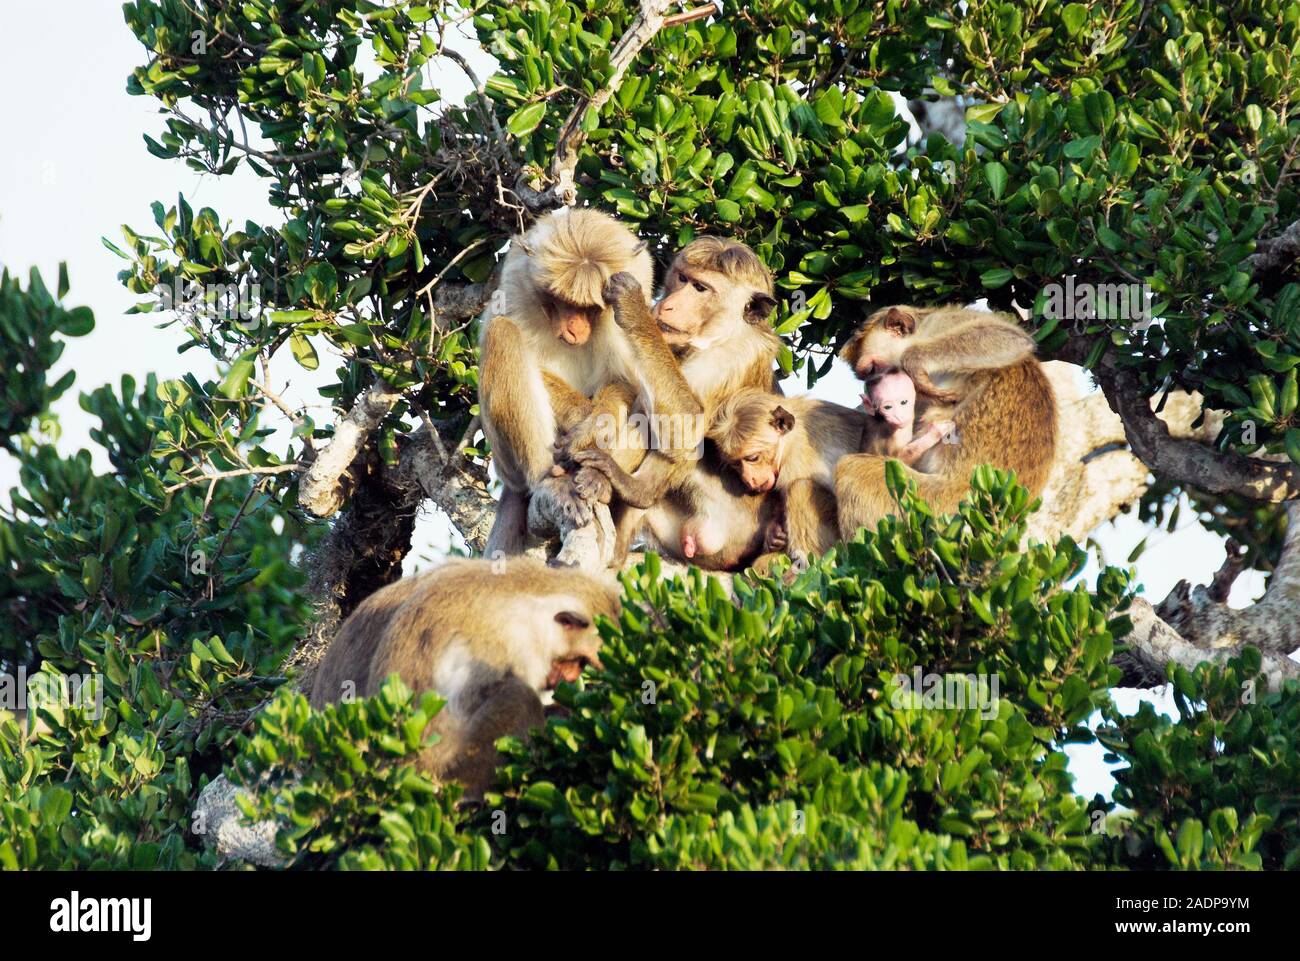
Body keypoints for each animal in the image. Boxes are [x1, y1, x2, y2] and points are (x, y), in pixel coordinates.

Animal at [478, 207, 655, 557]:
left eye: (588, 308)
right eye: (559, 301)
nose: (573, 329)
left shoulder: (633, 292)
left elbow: (625, 378)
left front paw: (596, 425)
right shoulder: (515, 285)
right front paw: (582, 417)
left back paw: (601, 478)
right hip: (506, 463)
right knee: (502, 333)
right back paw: (550, 482)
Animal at [835, 304, 1056, 537]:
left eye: (872, 370)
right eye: (865, 376)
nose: (871, 391)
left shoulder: (941, 323)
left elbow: (1009, 337)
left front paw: (914, 360)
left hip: (932, 506)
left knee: (851, 469)